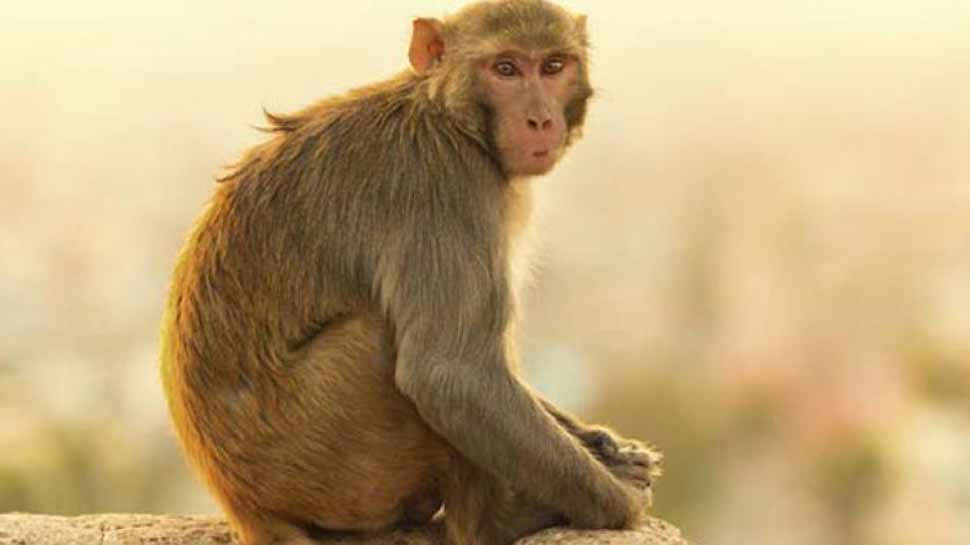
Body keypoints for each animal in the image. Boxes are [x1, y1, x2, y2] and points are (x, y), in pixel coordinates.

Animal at [159, 2, 661, 545]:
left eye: (553, 66)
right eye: (505, 69)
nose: (540, 118)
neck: (450, 117)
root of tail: (242, 506)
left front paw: (603, 446)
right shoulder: (445, 188)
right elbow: (451, 375)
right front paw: (620, 504)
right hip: (326, 462)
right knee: (388, 345)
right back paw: (497, 521)